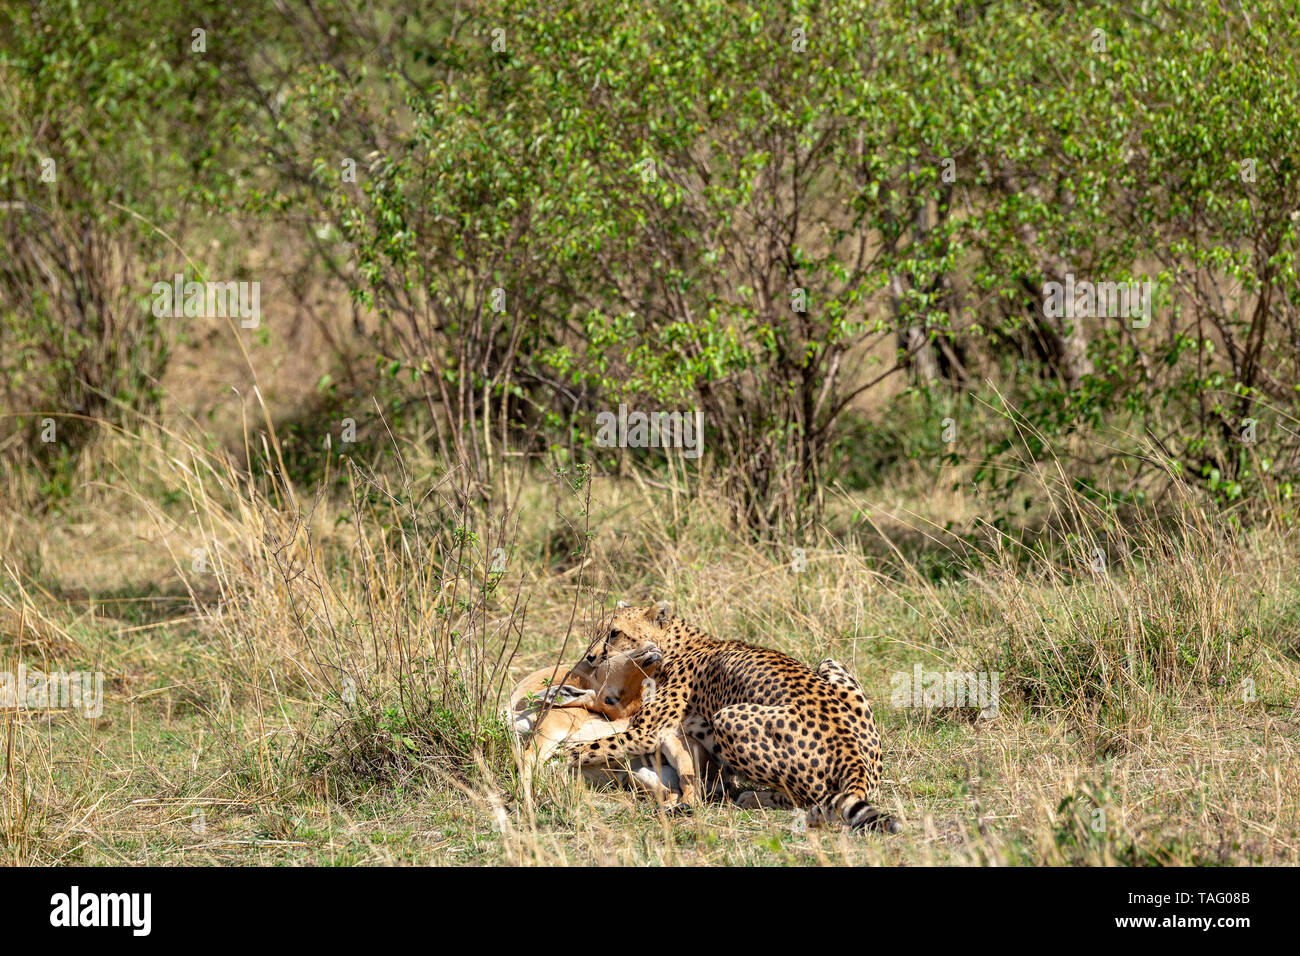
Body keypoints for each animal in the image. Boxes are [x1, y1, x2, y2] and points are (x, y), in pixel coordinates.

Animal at [563, 601, 899, 832]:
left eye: (615, 633)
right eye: (598, 630)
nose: (591, 656)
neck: (676, 645)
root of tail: (851, 752)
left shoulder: (645, 730)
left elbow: (591, 746)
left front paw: (560, 758)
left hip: (727, 717)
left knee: (811, 799)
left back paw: (752, 797)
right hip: (830, 663)